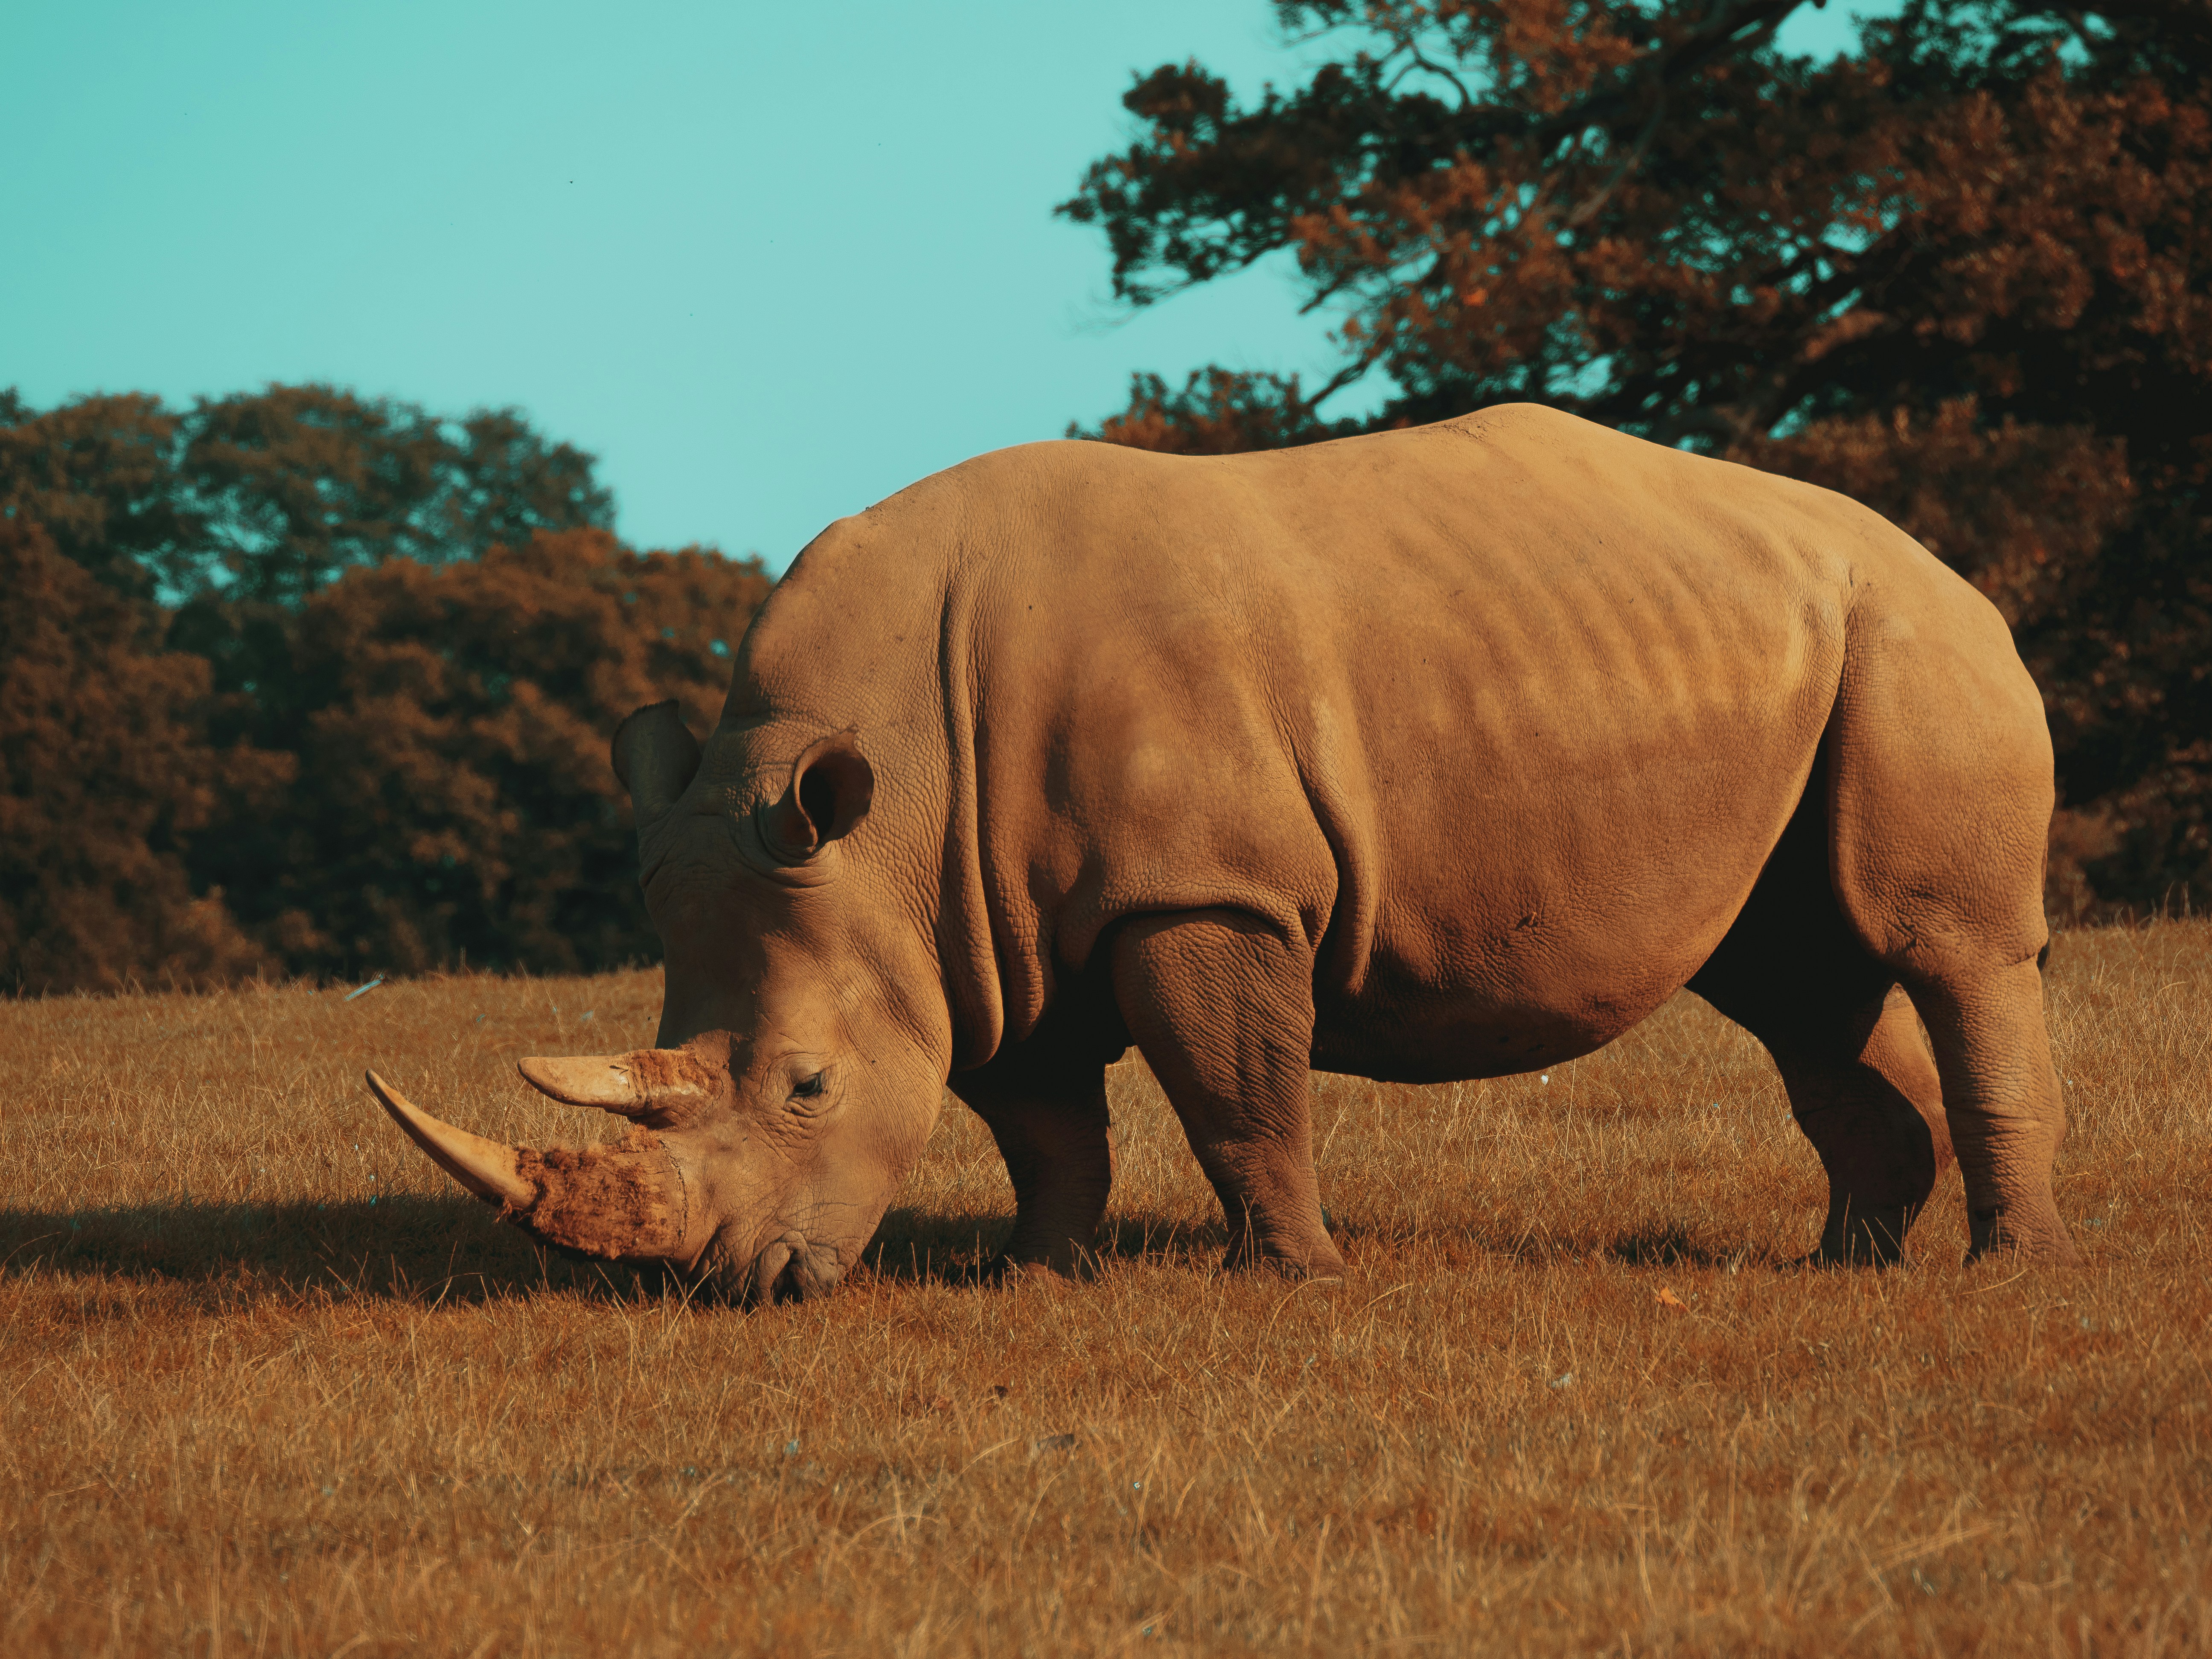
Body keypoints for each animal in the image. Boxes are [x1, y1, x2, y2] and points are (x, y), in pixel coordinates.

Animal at [368, 404, 2079, 1301]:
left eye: (805, 1089)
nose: (748, 1287)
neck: (892, 795)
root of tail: (1956, 564)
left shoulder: (1197, 888)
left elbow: (1236, 1088)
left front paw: (1297, 1276)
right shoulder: (977, 922)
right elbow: (1043, 1116)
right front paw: (1042, 1274)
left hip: (1914, 644)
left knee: (1941, 949)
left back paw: (2005, 1270)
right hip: (1783, 656)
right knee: (1797, 975)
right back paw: (1851, 1261)